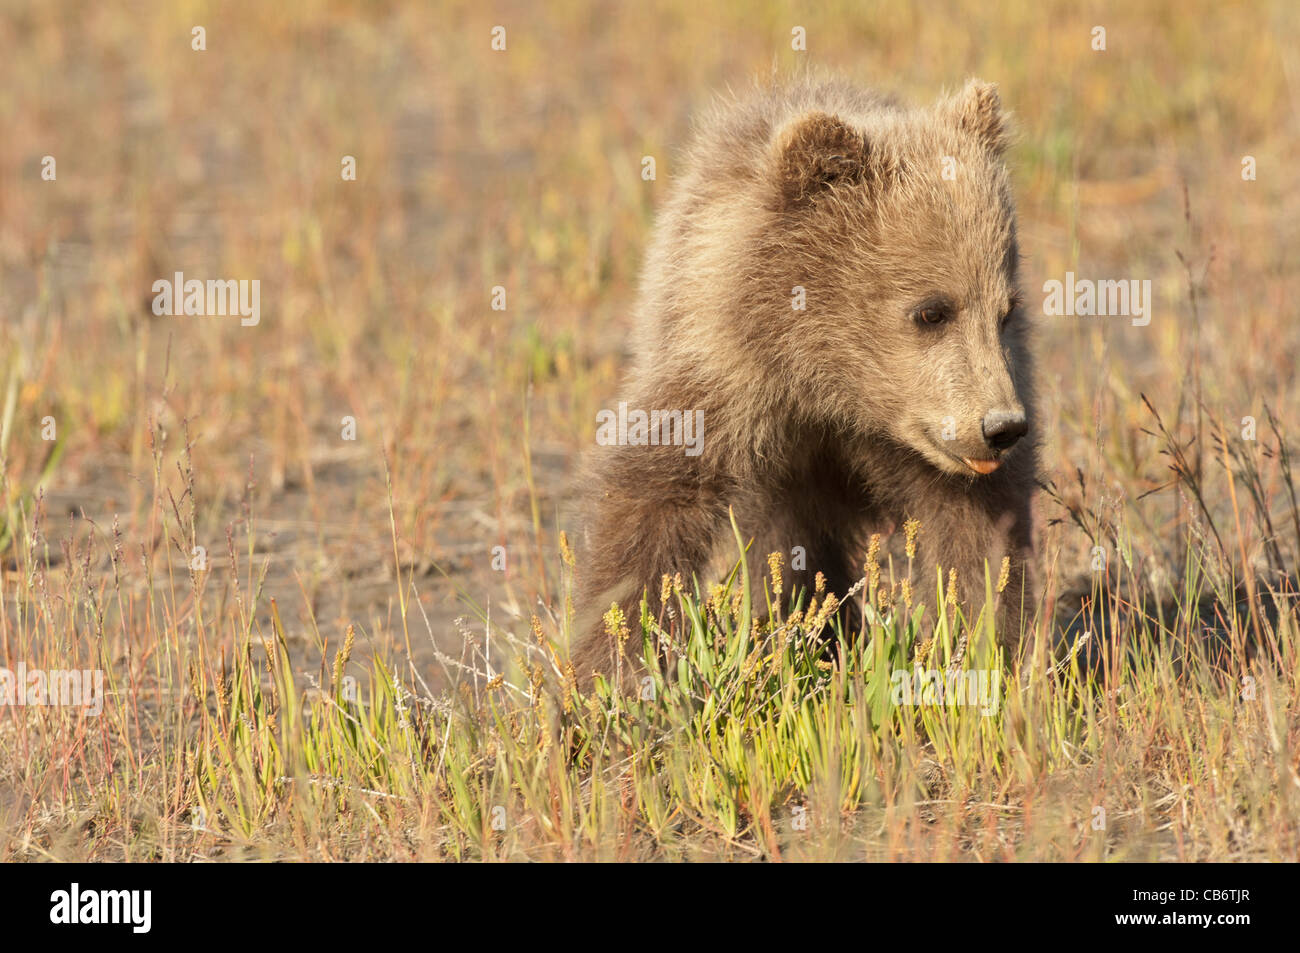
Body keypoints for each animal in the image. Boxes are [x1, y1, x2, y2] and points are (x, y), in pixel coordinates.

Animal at [571, 75, 1038, 688]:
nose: (1002, 427)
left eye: (1006, 311)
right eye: (932, 311)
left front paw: (982, 651)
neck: (829, 384)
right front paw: (613, 669)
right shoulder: (721, 376)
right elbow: (651, 504)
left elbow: (976, 541)